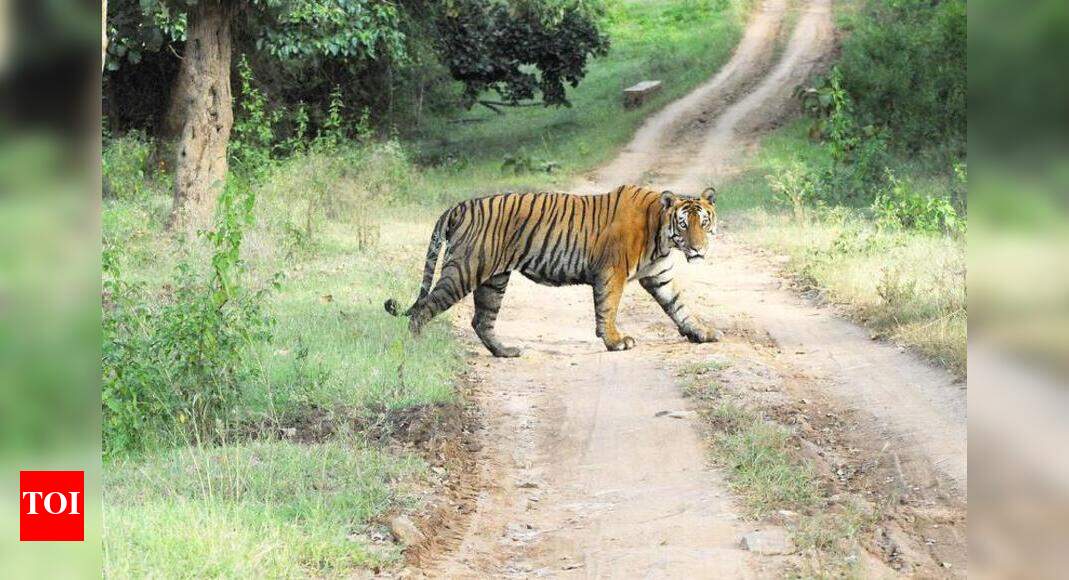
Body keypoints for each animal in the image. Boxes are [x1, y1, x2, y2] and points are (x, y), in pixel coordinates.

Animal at [384, 184, 723, 357]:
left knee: (481, 320)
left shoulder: (659, 276)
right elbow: (608, 308)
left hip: (494, 280)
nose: (698, 249)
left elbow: (680, 307)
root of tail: (459, 206)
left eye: (703, 223)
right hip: (464, 270)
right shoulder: (611, 272)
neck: (662, 237)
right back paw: (416, 348)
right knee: (424, 307)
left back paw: (505, 351)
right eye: (684, 224)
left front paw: (703, 333)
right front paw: (615, 341)